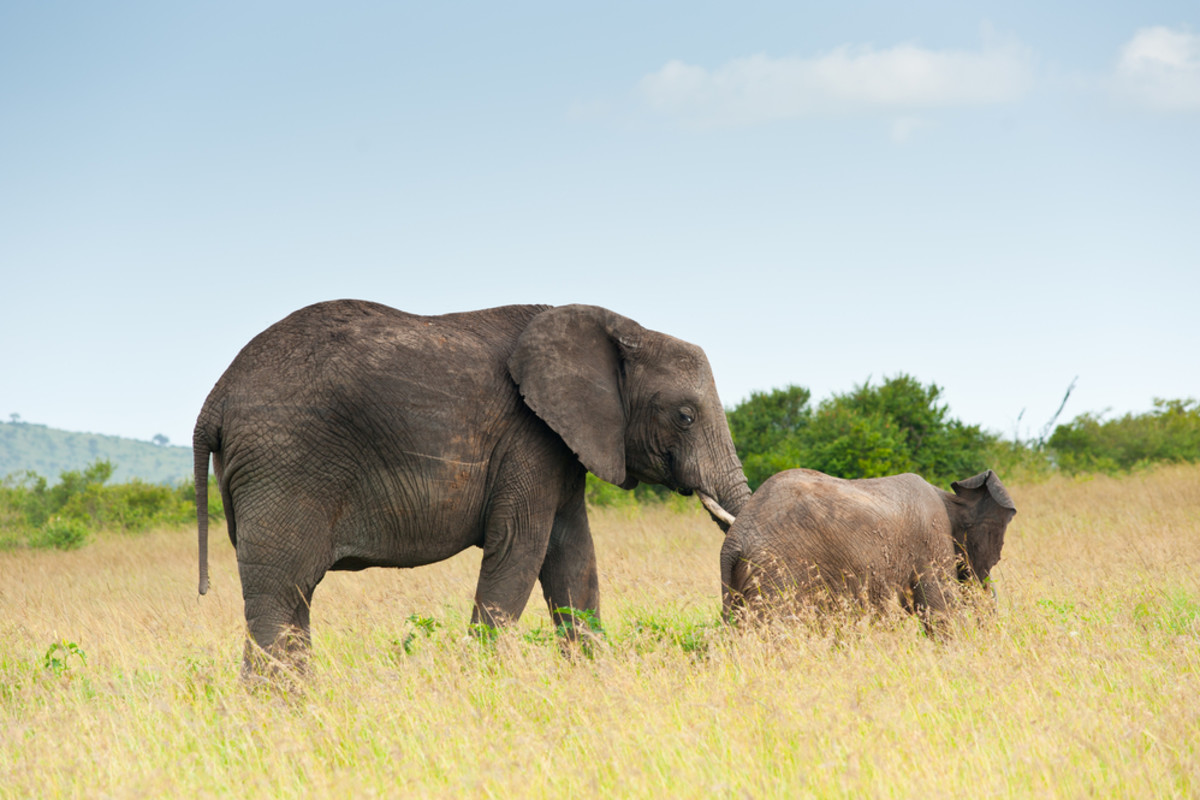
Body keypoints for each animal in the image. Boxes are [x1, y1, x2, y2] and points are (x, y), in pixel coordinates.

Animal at [194, 299, 751, 672]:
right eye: (684, 416)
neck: (620, 327)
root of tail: (214, 401)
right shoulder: (529, 435)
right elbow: (520, 548)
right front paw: (487, 683)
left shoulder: (562, 442)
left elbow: (573, 555)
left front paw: (592, 678)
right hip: (284, 464)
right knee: (279, 597)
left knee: (294, 599)